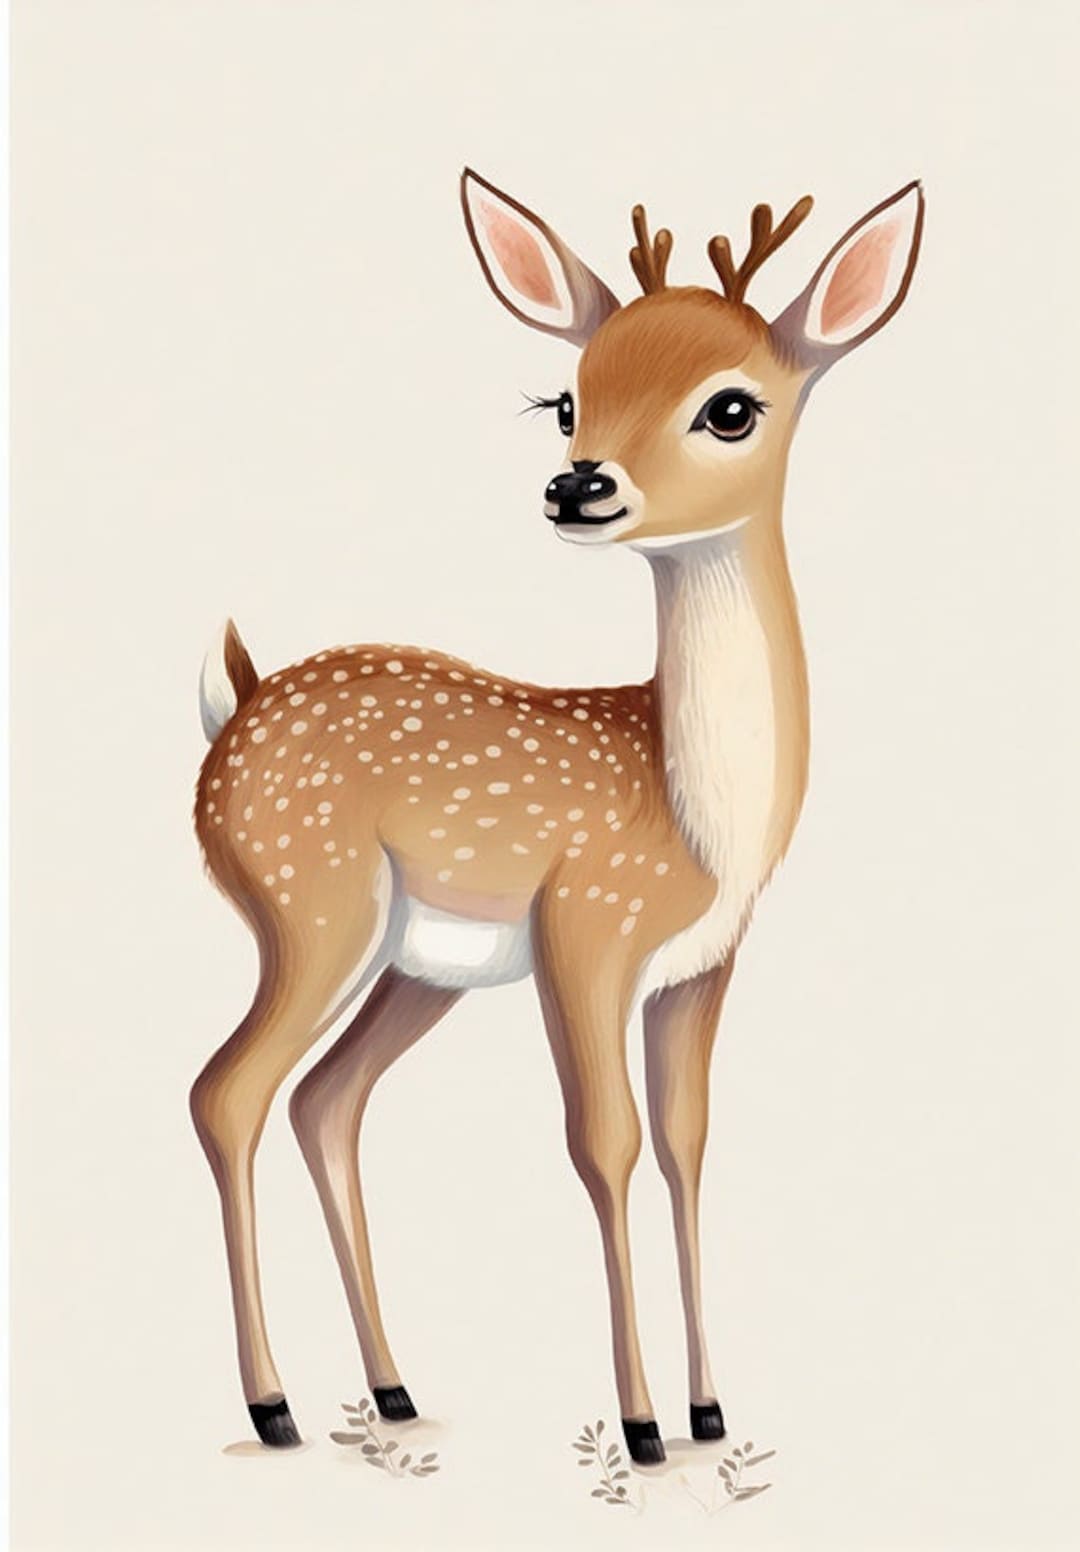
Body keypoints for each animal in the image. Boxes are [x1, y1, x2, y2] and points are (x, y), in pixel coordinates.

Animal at [191, 167, 924, 1465]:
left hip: (413, 963)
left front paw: (710, 1410)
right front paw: (639, 1425)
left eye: (731, 406)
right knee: (227, 1093)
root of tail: (233, 704)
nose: (579, 484)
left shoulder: (701, 965)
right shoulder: (587, 927)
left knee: (327, 1101)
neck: (695, 820)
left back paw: (392, 1390)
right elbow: (607, 1143)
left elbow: (686, 1142)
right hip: (311, 904)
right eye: (568, 397)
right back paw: (272, 1408)